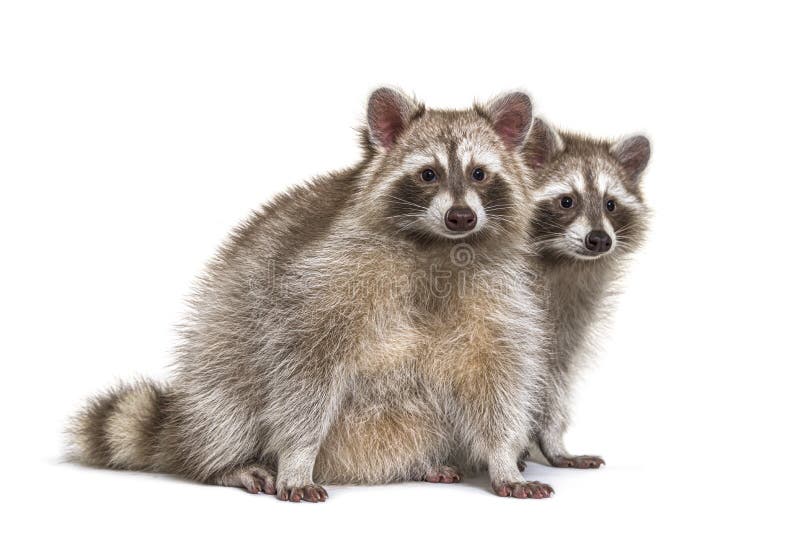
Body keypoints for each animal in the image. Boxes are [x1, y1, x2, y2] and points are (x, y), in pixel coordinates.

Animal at [68, 88, 554, 501]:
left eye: (479, 174)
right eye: (427, 174)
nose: (461, 216)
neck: (437, 246)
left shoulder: (500, 297)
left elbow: (499, 377)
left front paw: (502, 458)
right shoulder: (322, 280)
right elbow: (302, 374)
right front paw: (296, 459)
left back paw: (423, 464)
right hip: (218, 342)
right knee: (227, 398)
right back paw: (227, 462)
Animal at [523, 118, 651, 468]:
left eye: (611, 204)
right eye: (567, 201)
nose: (599, 239)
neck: (562, 260)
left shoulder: (572, 312)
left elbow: (554, 372)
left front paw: (553, 442)